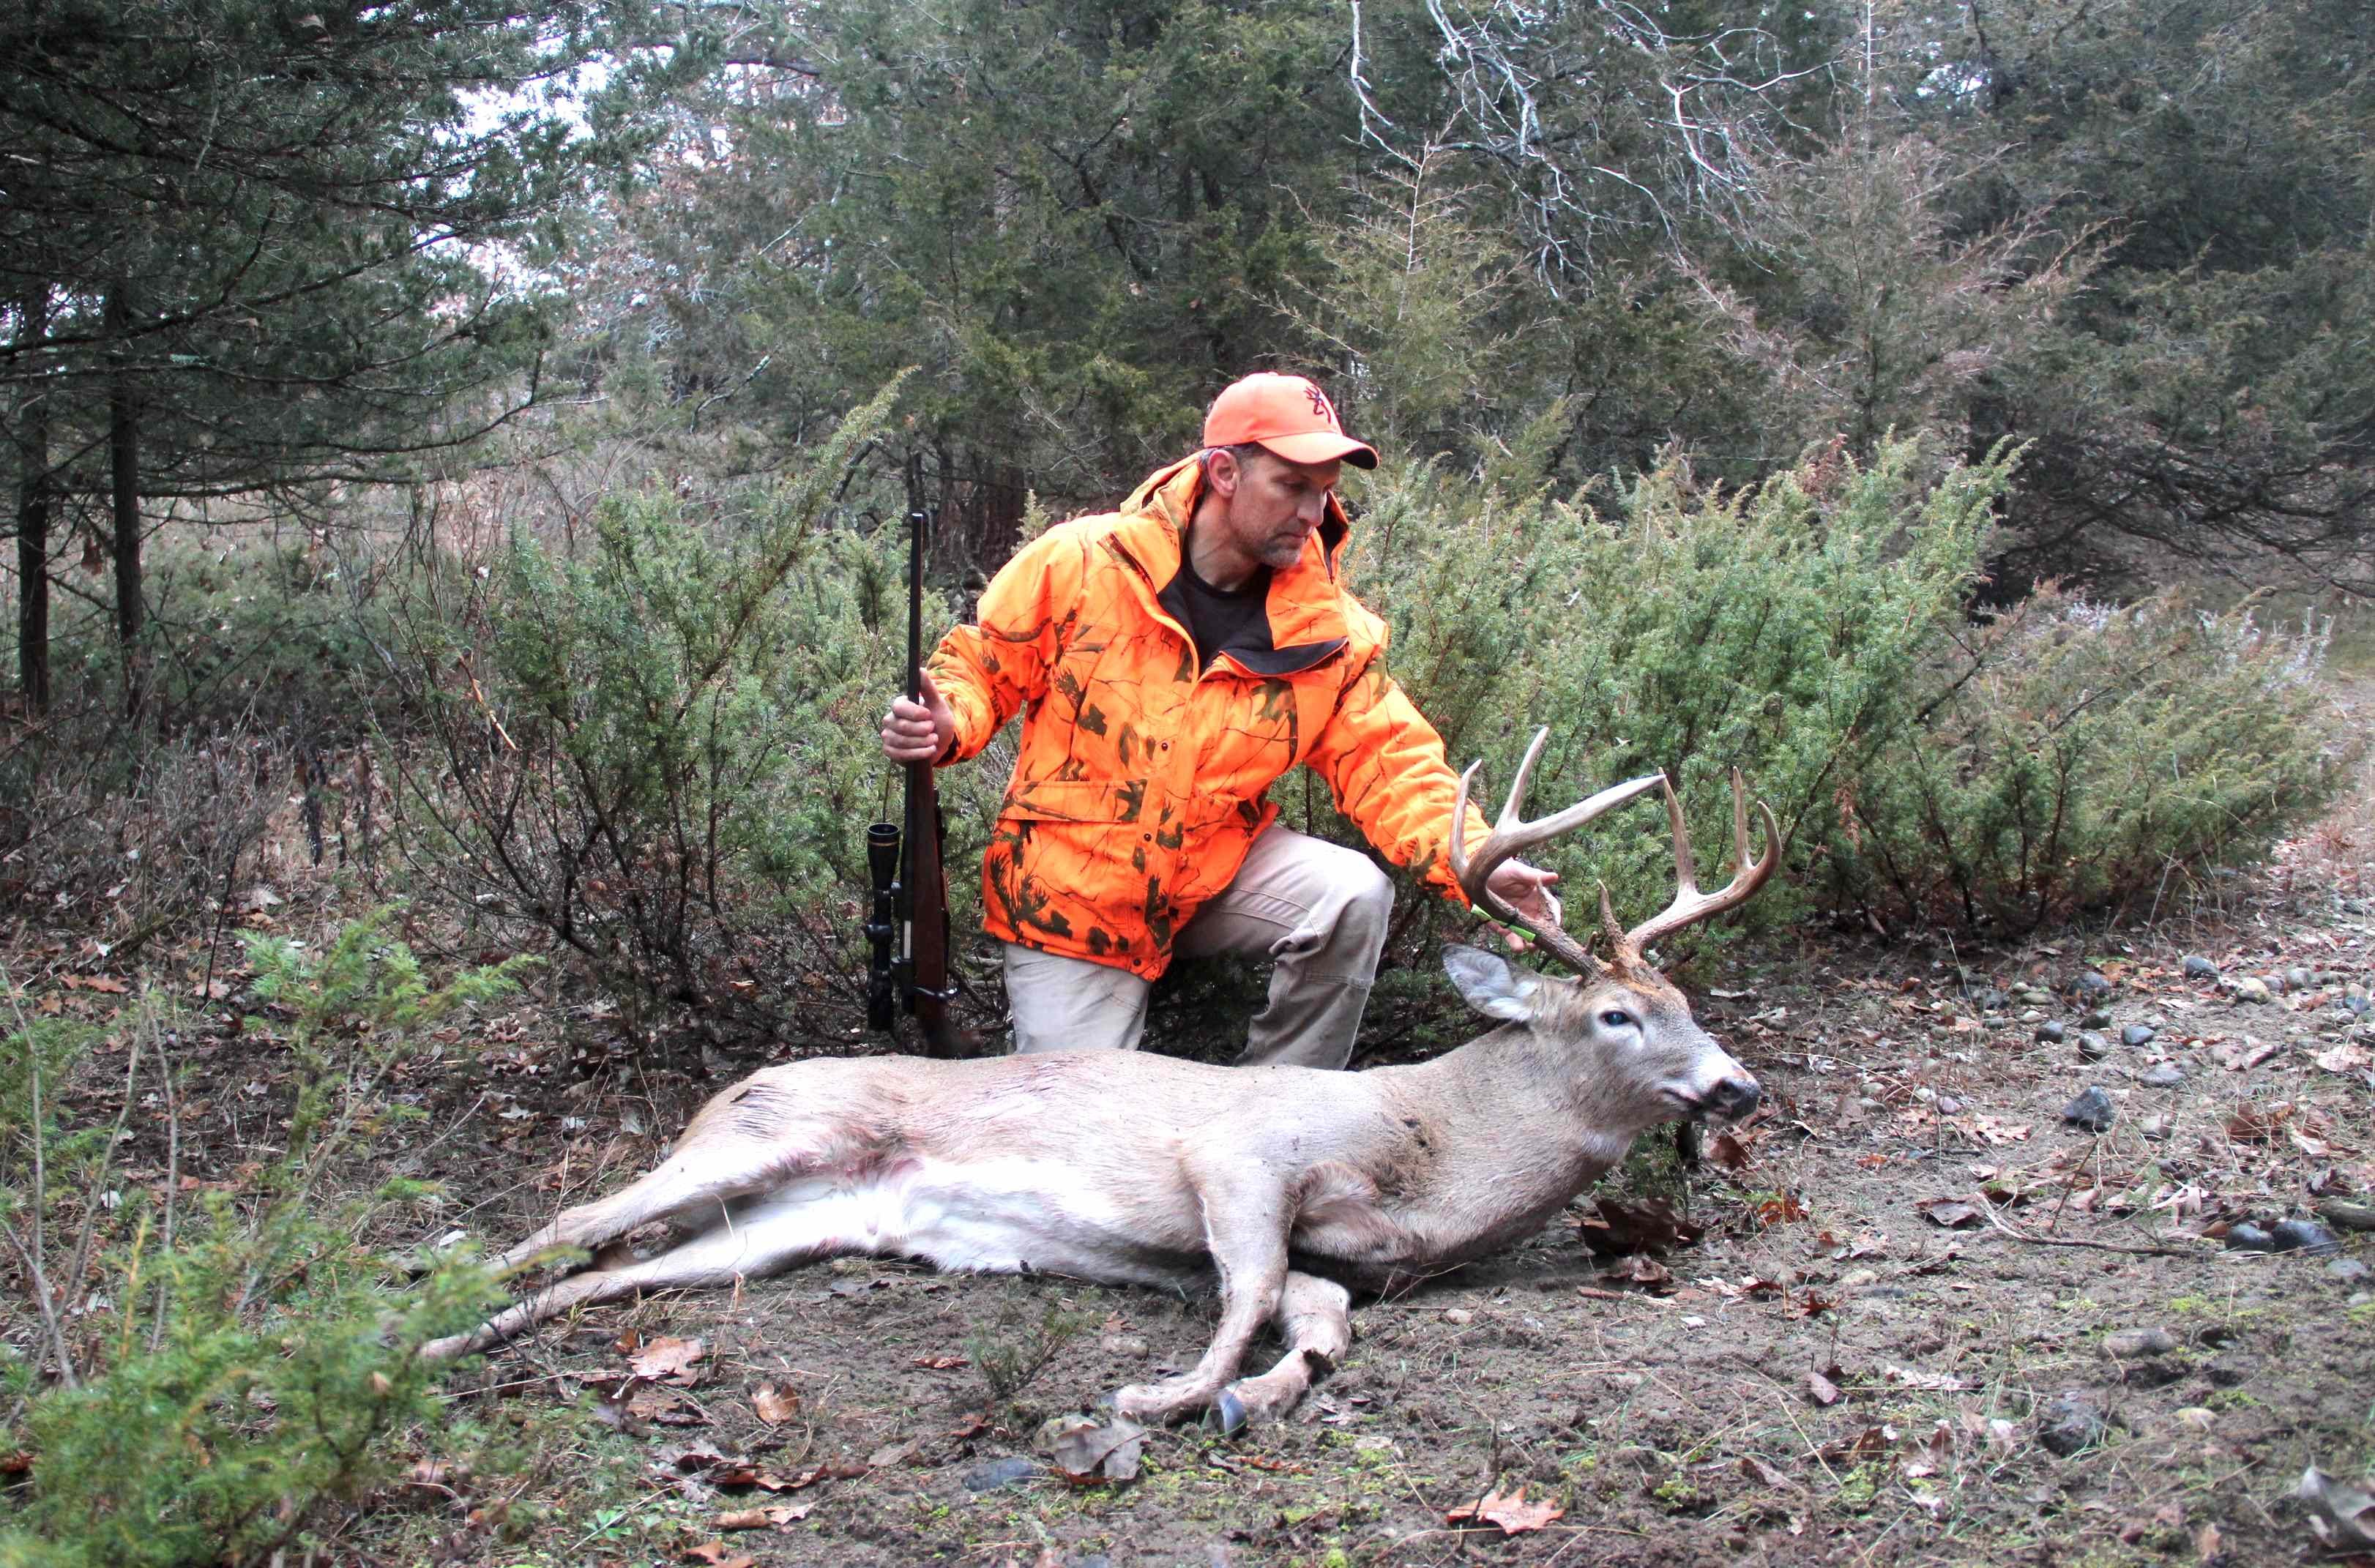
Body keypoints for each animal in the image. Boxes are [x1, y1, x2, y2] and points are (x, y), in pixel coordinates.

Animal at [421, 732, 1779, 1432]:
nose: (1739, 1087)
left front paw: (1257, 1391)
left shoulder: (1337, 1258)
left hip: (780, 1228)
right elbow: (1247, 1292)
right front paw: (1163, 1392)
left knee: (605, 1271)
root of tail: (737, 1086)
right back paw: (406, 1307)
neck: (1433, 1150)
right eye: (1615, 1013)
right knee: (568, 1218)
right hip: (763, 1136)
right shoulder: (1241, 1157)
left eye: (1692, 1007)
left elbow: (1317, 1320)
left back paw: (436, 1347)